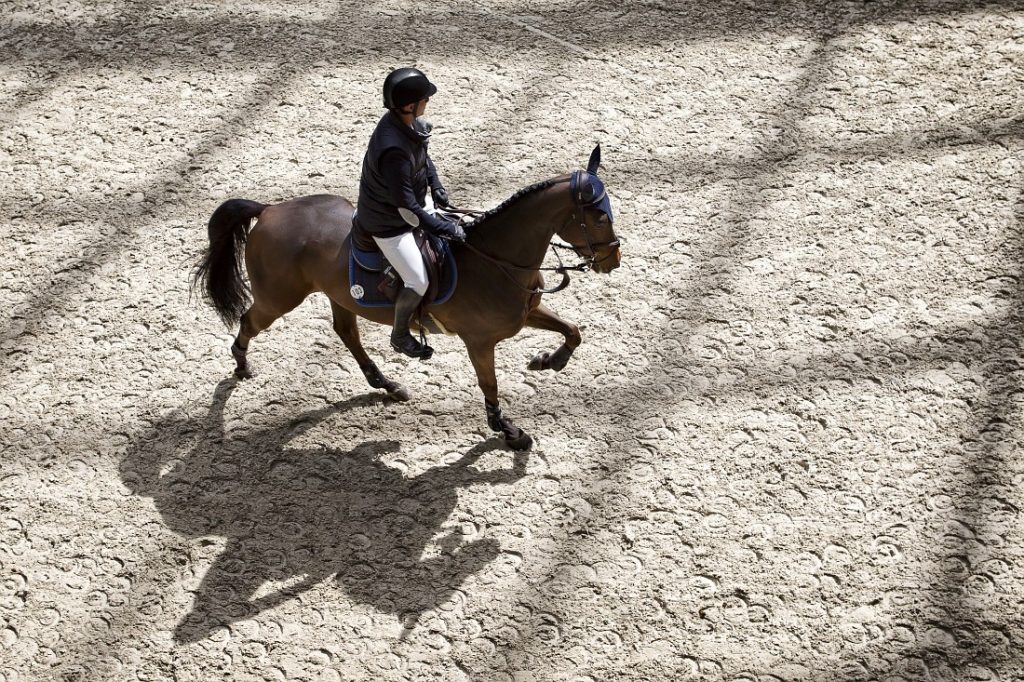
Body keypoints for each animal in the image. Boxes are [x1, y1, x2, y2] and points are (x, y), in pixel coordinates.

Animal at [192, 145, 621, 450]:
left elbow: (573, 330)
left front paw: (549, 362)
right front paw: (509, 431)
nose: (613, 259)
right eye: (599, 217)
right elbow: (490, 385)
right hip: (278, 300)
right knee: (249, 322)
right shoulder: (479, 342)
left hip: (339, 296)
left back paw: (388, 385)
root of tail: (269, 209)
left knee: (346, 333)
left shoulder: (528, 310)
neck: (496, 260)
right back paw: (242, 367)